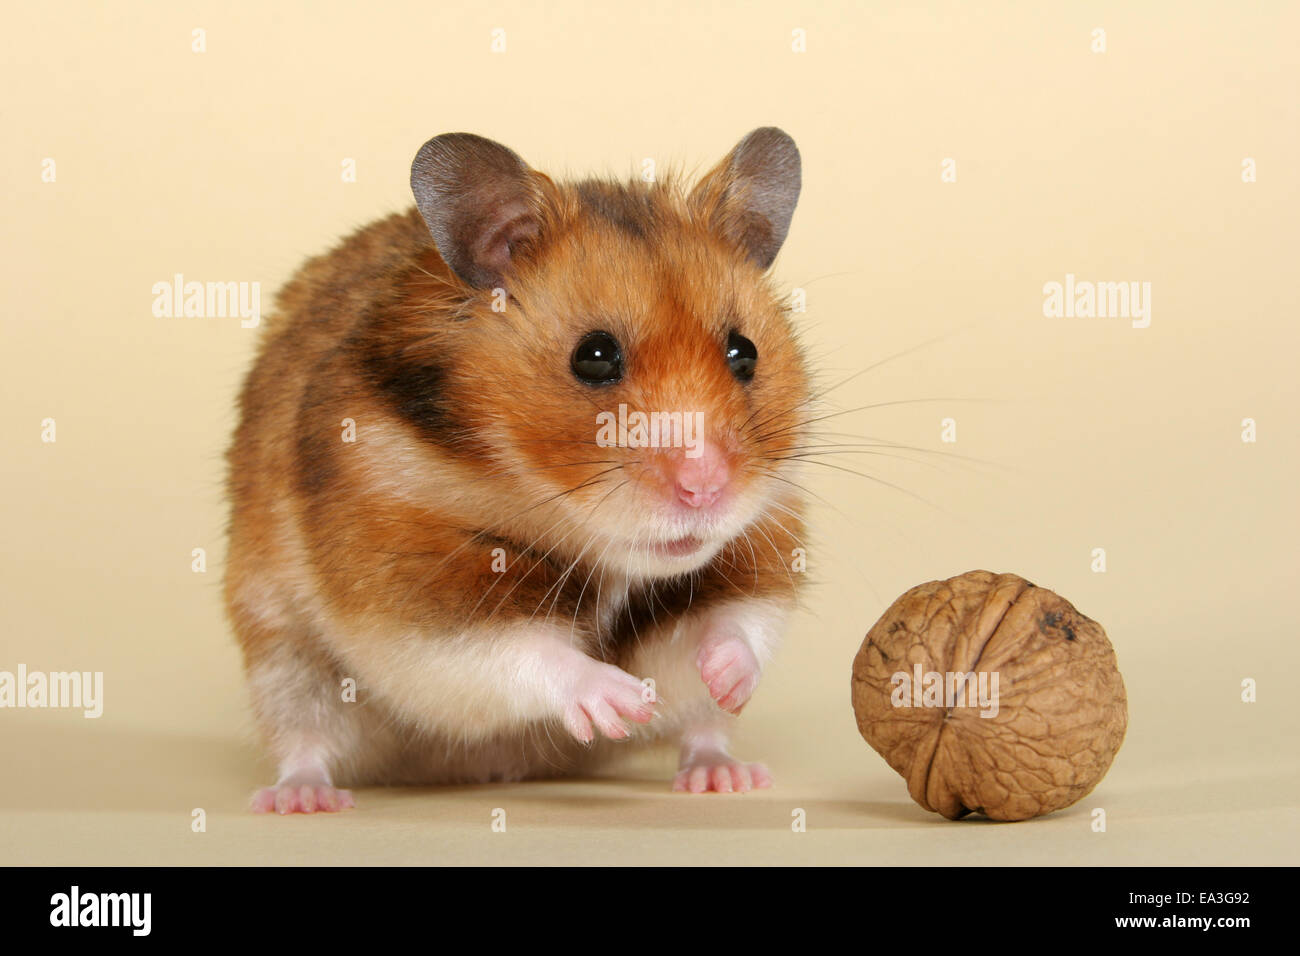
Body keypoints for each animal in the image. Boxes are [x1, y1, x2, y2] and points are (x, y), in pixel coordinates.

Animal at [224, 128, 809, 813]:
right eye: (594, 357)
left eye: (745, 352)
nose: (707, 488)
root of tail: (495, 766)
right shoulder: (411, 589)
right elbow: (522, 651)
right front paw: (620, 702)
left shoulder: (762, 539)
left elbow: (731, 621)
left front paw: (727, 679)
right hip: (285, 659)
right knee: (304, 738)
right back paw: (303, 799)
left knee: (703, 732)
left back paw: (723, 777)